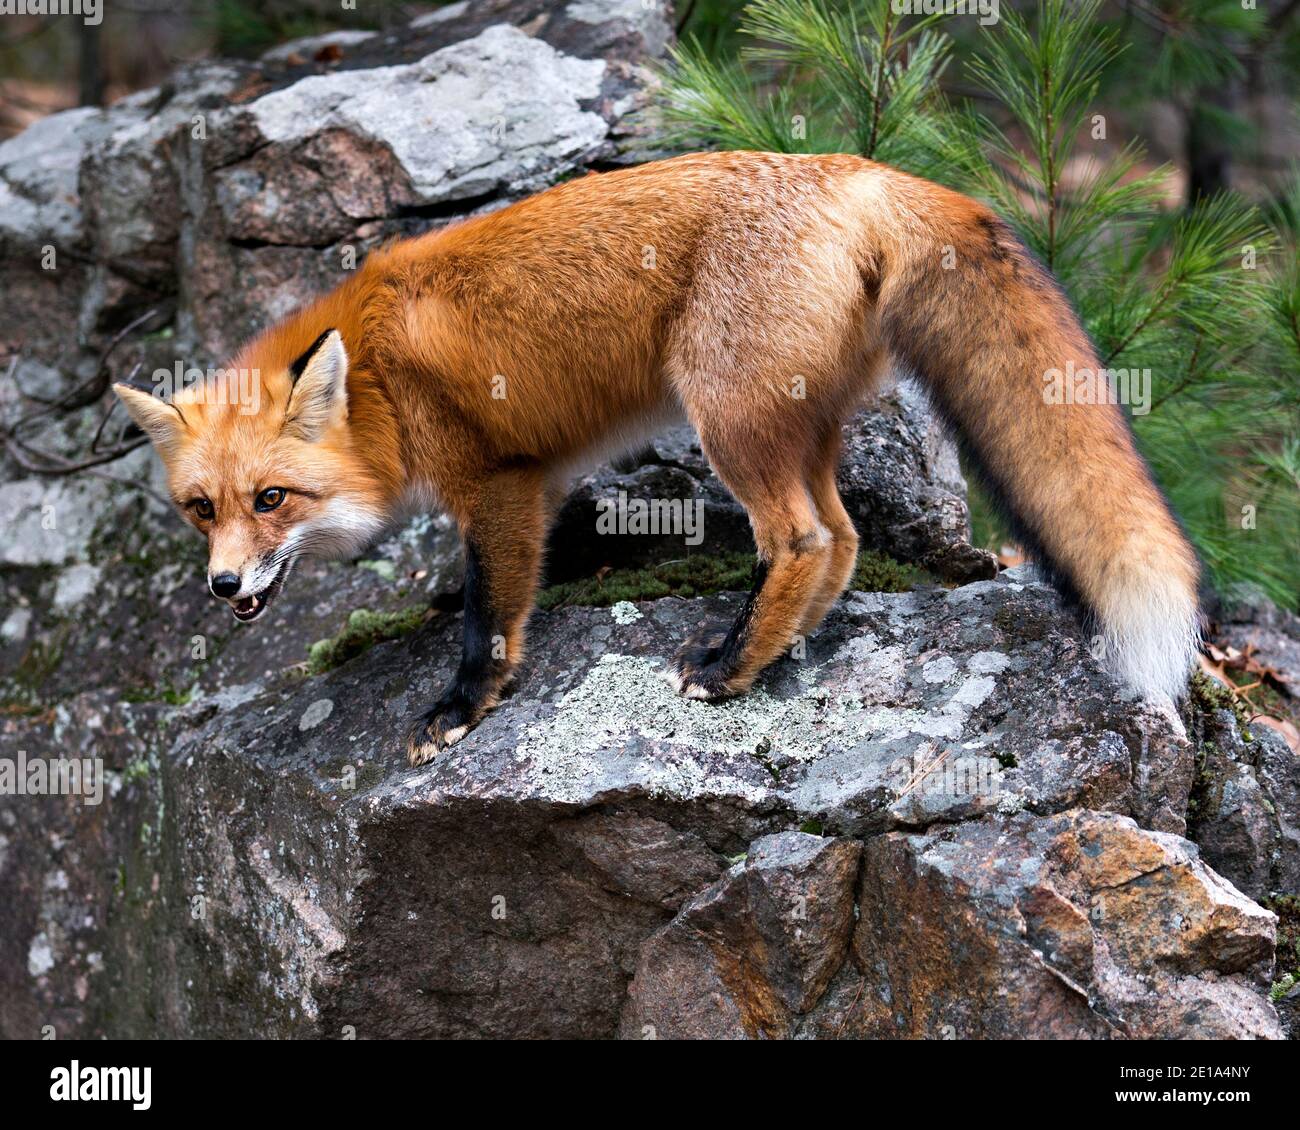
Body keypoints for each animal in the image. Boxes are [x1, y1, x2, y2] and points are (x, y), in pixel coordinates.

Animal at [114, 150, 1200, 767]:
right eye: (201, 509)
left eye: (271, 498)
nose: (220, 586)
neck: (378, 374)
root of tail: (866, 169)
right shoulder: (526, 480)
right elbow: (488, 580)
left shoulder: (498, 478)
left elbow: (489, 615)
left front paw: (461, 705)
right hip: (795, 425)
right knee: (844, 537)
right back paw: (777, 649)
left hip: (727, 422)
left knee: (802, 537)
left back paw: (727, 668)